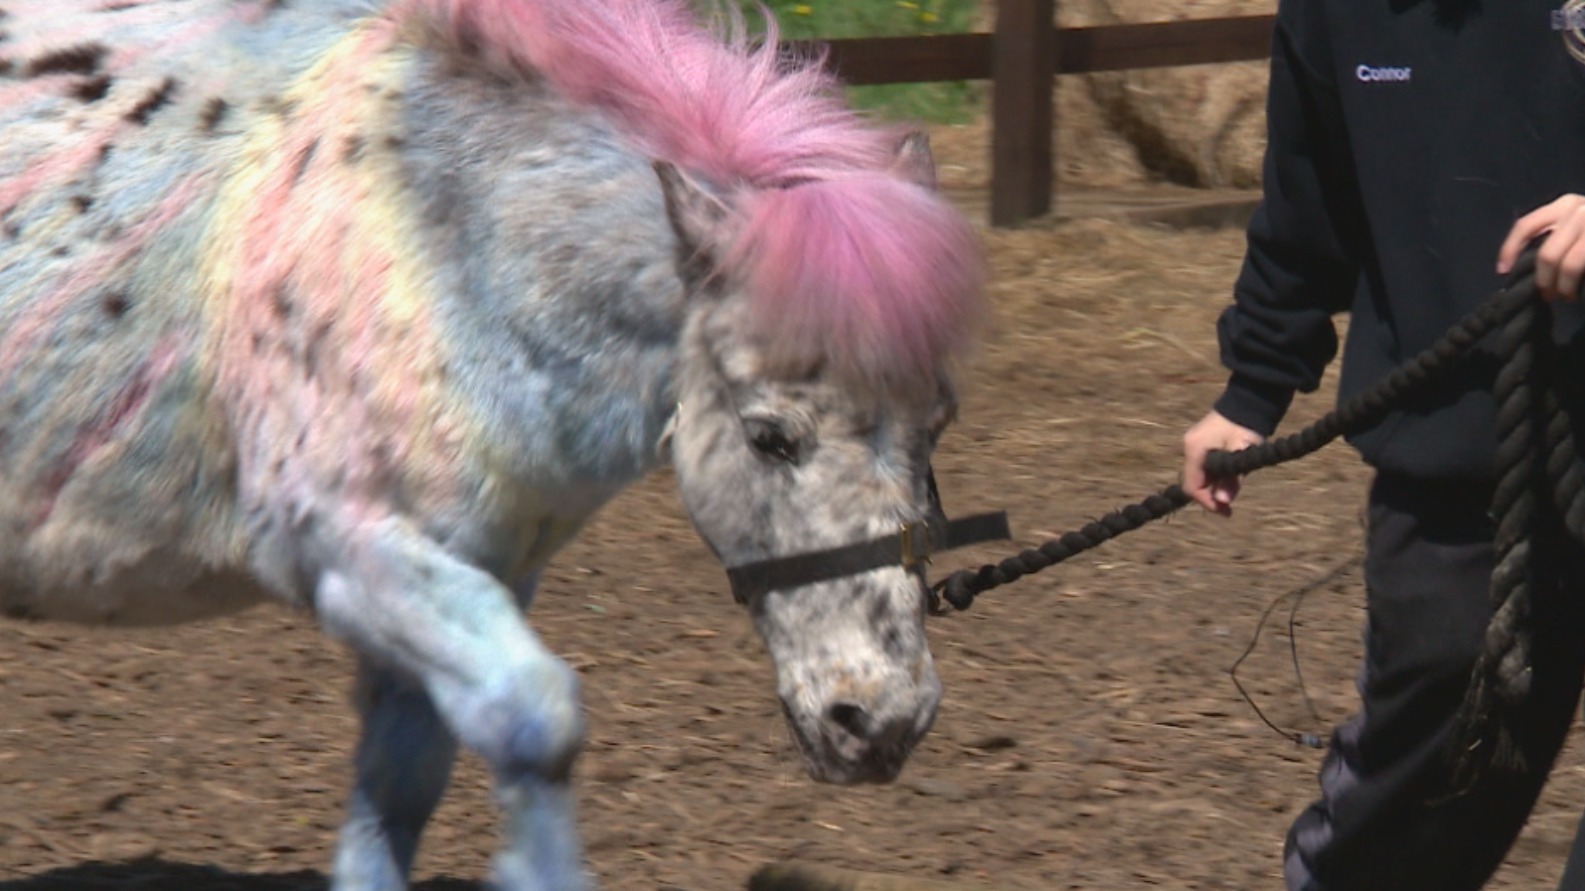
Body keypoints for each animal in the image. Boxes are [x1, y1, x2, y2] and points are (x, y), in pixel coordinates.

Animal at [0, 1, 989, 888]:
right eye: (769, 436)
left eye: (935, 424)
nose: (881, 718)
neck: (435, 245)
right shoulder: (347, 550)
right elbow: (531, 718)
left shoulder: (472, 578)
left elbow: (400, 791)